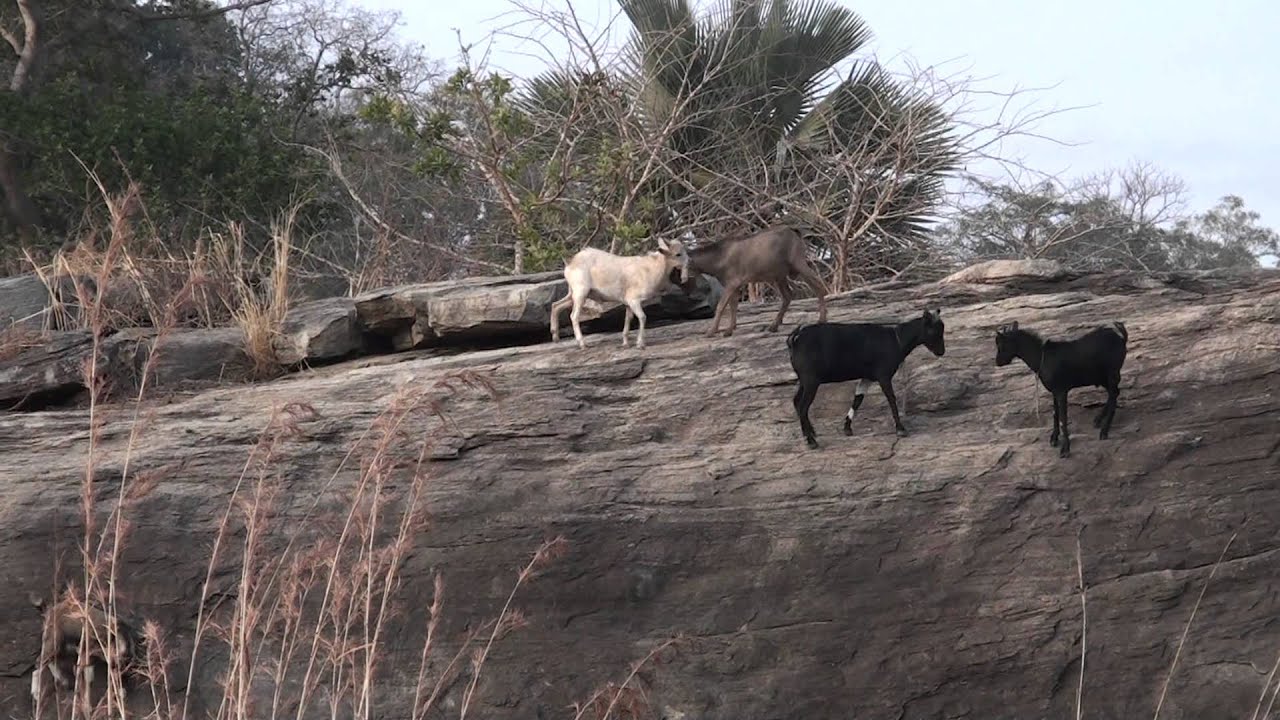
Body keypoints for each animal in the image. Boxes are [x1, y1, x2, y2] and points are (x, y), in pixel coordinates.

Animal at [550, 238, 690, 349]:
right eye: (678, 254)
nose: (684, 277)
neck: (651, 269)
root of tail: (570, 264)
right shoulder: (634, 301)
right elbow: (642, 317)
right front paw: (640, 344)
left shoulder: (628, 303)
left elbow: (628, 319)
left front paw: (625, 343)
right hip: (580, 294)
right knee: (573, 316)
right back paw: (582, 344)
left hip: (574, 295)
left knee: (556, 306)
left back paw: (555, 337)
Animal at [686, 226, 828, 337]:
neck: (717, 260)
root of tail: (795, 232)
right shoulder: (734, 285)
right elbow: (733, 306)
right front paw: (729, 329)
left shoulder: (733, 282)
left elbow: (721, 306)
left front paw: (711, 331)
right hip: (780, 275)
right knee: (788, 295)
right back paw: (774, 325)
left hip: (798, 262)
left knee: (818, 285)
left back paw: (822, 319)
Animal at [787, 309, 945, 449]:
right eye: (934, 331)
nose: (941, 352)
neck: (896, 340)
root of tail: (795, 339)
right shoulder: (883, 375)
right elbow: (891, 399)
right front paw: (901, 429)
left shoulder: (867, 377)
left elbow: (858, 400)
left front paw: (847, 428)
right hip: (811, 380)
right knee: (802, 406)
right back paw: (811, 441)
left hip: (805, 380)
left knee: (796, 401)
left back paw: (810, 432)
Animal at [994, 320, 1128, 458]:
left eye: (1002, 344)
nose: (998, 361)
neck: (1042, 357)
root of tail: (1122, 338)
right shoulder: (1054, 391)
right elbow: (1055, 414)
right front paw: (1054, 438)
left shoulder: (1062, 390)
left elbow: (1063, 418)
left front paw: (1065, 449)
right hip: (1101, 377)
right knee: (1115, 393)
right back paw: (1098, 419)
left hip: (1111, 373)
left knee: (1113, 394)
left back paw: (1104, 430)